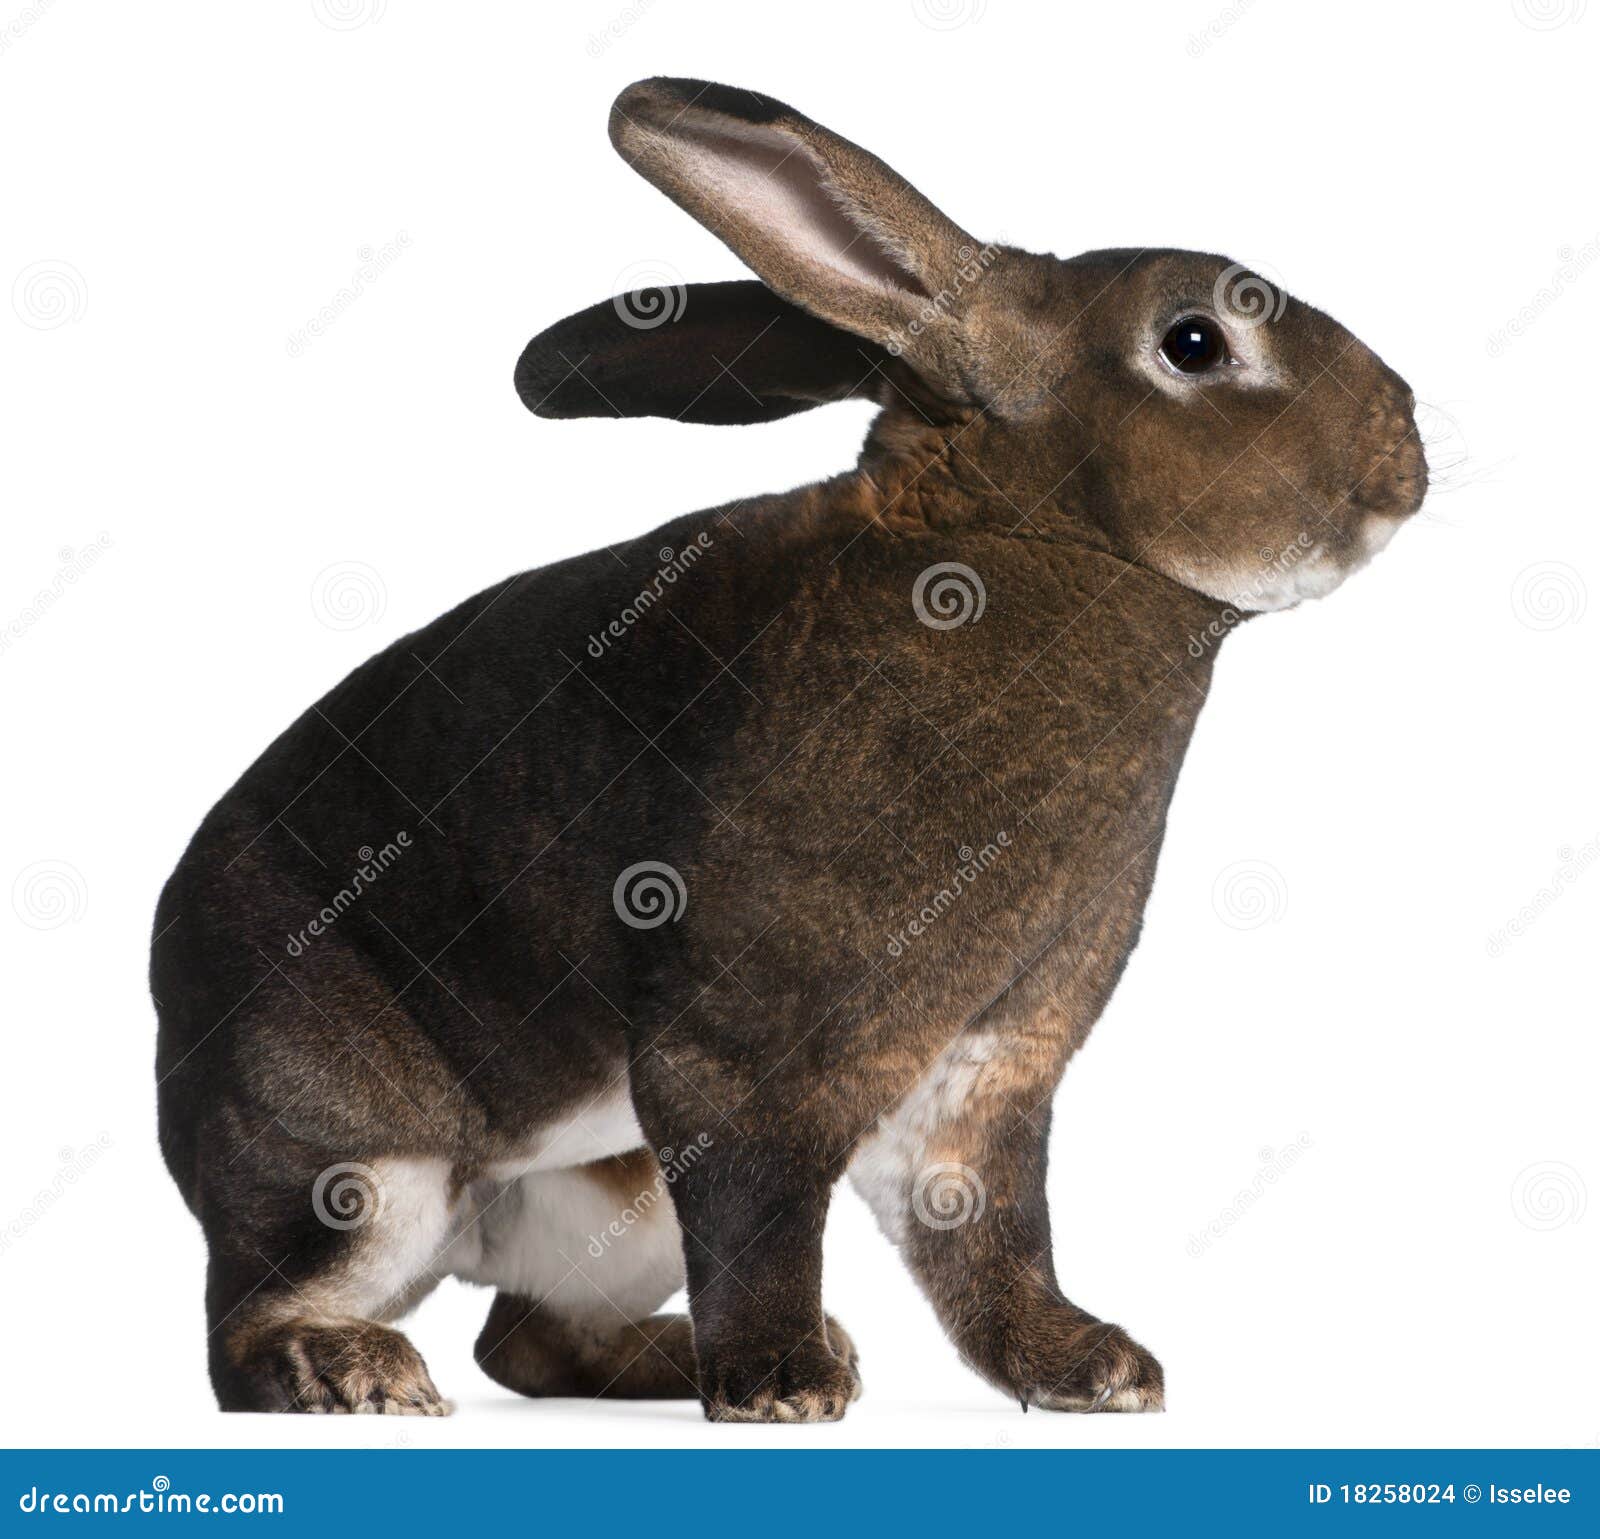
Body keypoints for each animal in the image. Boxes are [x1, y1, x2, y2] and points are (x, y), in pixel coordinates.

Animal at [152, 76, 1426, 1422]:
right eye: (1194, 341)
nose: (1403, 454)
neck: (1035, 544)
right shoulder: (746, 1059)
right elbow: (769, 1212)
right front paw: (781, 1386)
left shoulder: (986, 1066)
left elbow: (986, 1226)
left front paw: (1086, 1366)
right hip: (348, 1167)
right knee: (248, 1326)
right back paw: (358, 1372)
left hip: (620, 1211)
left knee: (531, 1342)